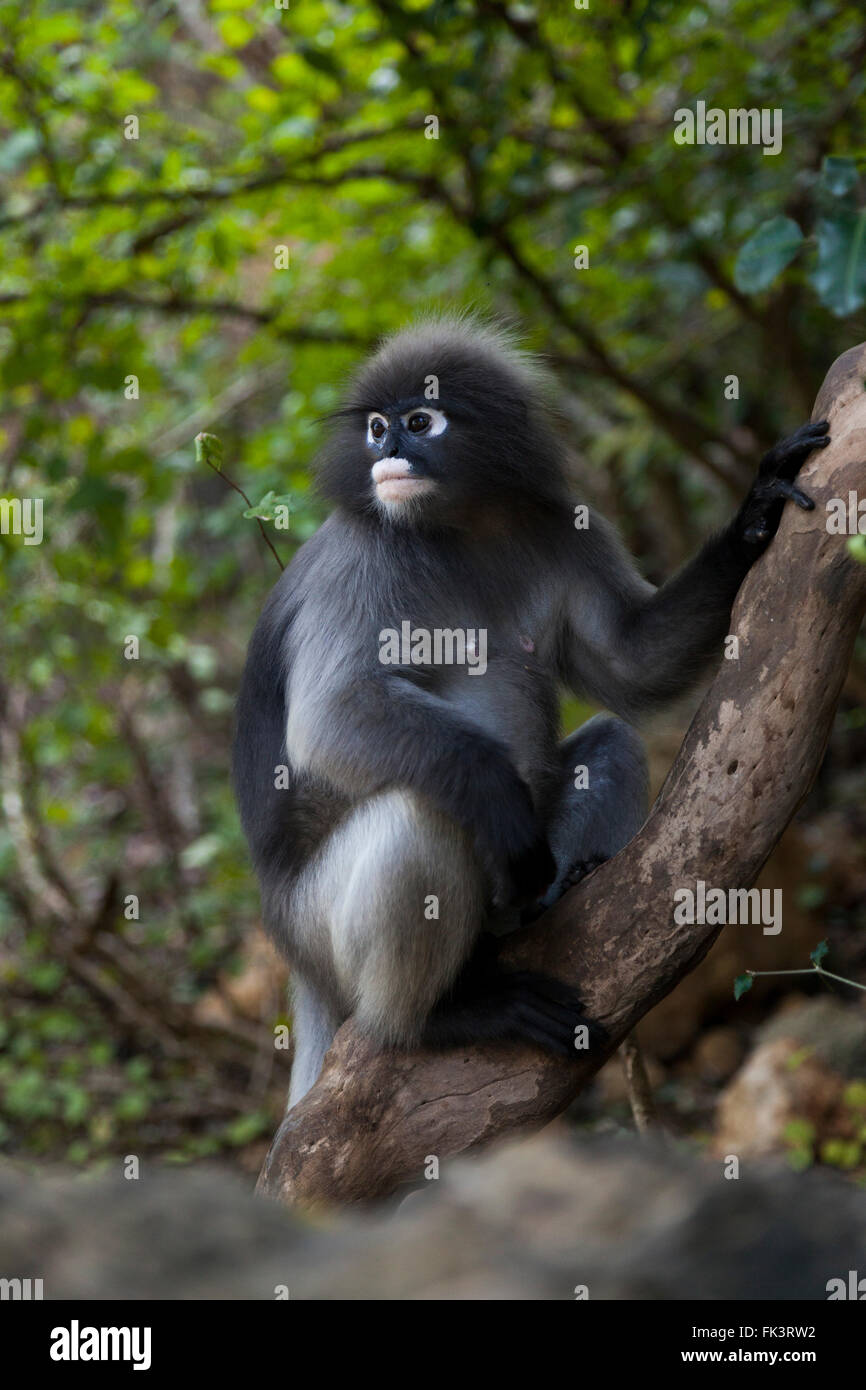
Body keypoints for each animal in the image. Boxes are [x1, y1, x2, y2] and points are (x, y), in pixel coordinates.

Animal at [233, 315, 829, 1108]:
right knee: (417, 815)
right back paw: (434, 1019)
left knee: (611, 741)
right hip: (319, 924)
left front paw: (755, 509)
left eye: (419, 423)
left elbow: (630, 665)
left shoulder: (564, 529)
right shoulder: (358, 557)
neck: (461, 528)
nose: (387, 453)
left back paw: (555, 894)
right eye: (377, 428)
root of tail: (291, 952)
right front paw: (501, 808)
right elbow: (329, 717)